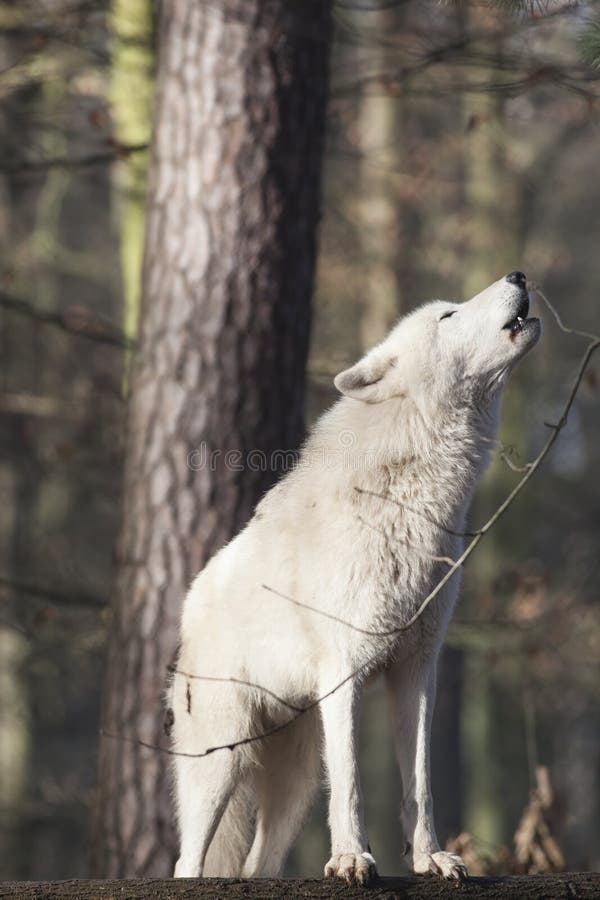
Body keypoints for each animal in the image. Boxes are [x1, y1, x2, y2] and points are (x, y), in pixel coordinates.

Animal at [171, 272, 540, 884]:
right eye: (448, 316)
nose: (518, 275)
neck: (411, 500)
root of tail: (189, 604)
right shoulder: (345, 670)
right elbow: (352, 784)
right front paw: (350, 859)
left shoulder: (417, 669)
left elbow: (420, 784)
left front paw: (431, 858)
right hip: (223, 759)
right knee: (187, 860)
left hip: (295, 784)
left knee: (259, 863)